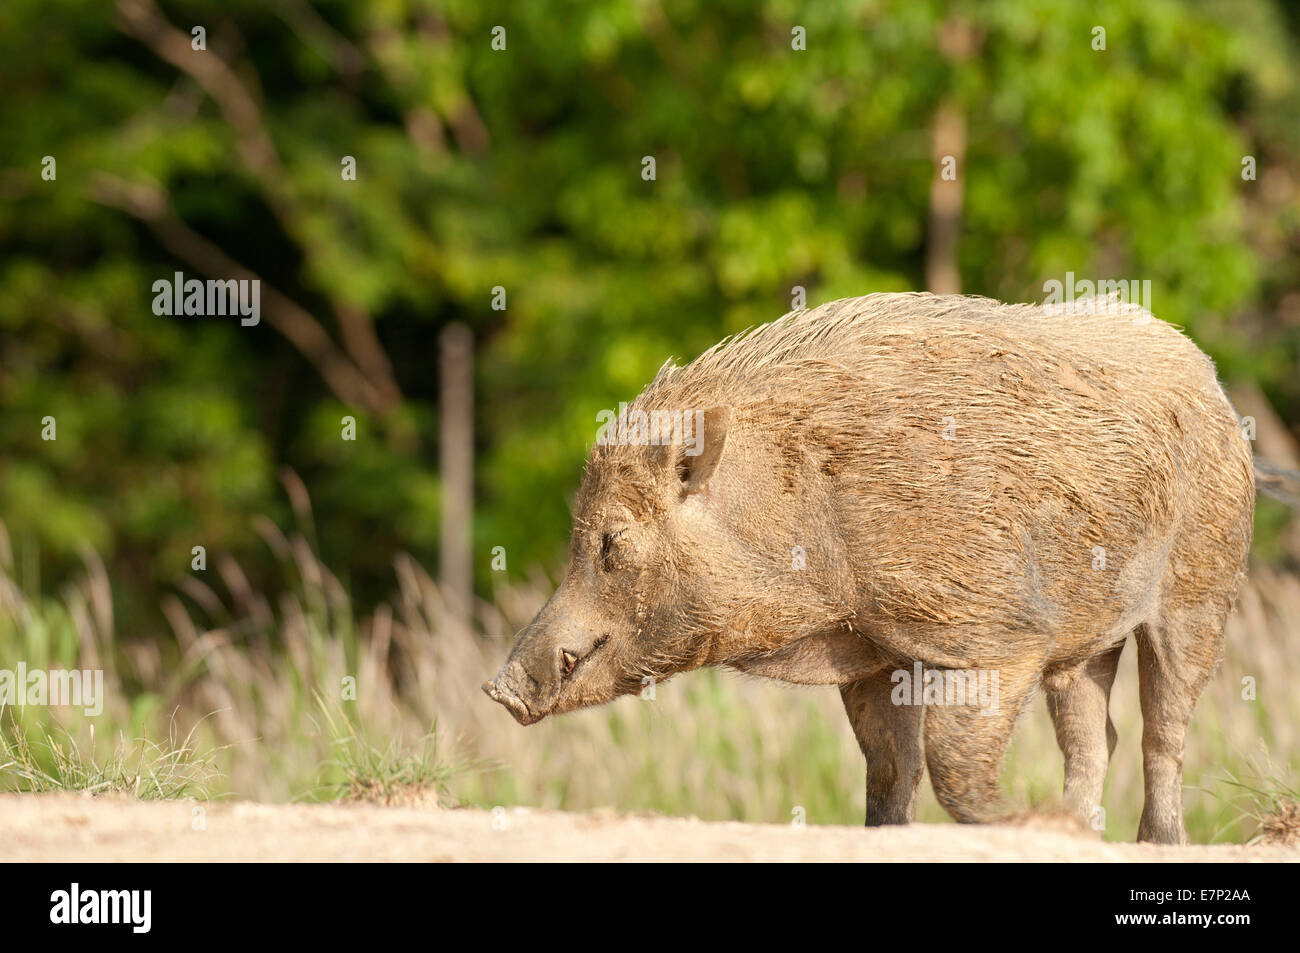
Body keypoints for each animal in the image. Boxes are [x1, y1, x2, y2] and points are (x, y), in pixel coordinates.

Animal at [483, 292, 1255, 845]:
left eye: (611, 541)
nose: (500, 687)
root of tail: (1213, 381)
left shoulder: (997, 637)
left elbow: (949, 756)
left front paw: (1016, 820)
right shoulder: (871, 653)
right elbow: (888, 766)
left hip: (1203, 587)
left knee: (1163, 729)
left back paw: (1154, 841)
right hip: (1089, 635)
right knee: (1096, 733)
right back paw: (1082, 830)